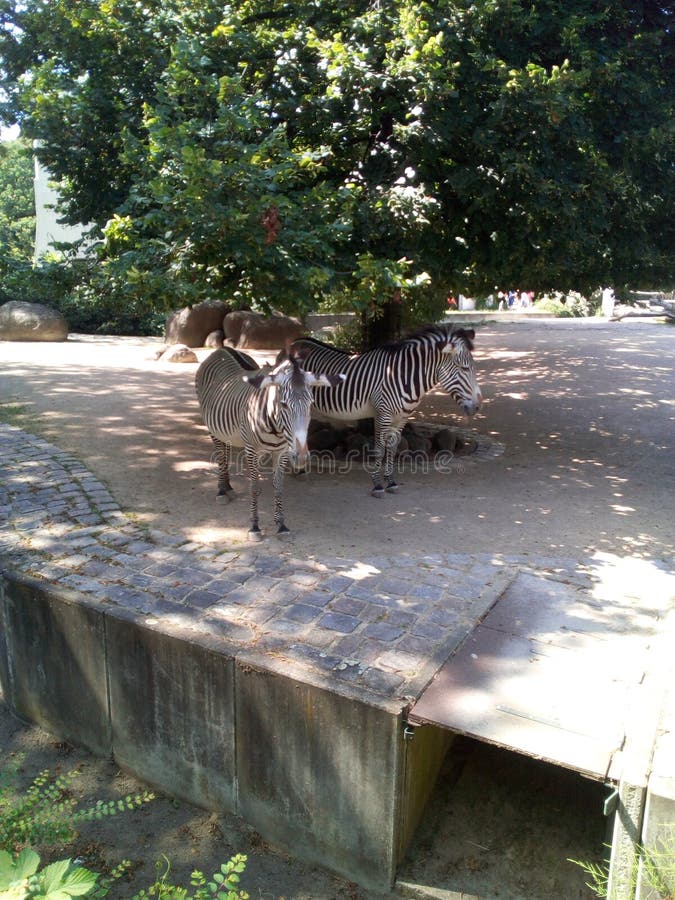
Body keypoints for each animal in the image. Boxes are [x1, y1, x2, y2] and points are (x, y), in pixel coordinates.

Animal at [195, 346, 345, 540]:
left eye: (311, 404)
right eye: (284, 404)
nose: (301, 458)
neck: (276, 428)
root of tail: (221, 349)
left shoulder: (282, 452)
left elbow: (278, 486)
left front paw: (281, 525)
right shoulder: (252, 450)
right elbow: (254, 487)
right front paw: (254, 527)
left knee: (226, 452)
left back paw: (227, 486)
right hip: (212, 427)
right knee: (221, 455)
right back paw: (221, 490)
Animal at [284, 325, 482, 497]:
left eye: (473, 368)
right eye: (464, 368)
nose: (478, 406)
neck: (404, 377)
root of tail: (294, 343)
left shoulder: (401, 418)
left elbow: (392, 448)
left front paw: (391, 481)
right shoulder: (382, 415)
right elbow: (379, 448)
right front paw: (378, 484)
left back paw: (300, 468)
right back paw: (295, 469)